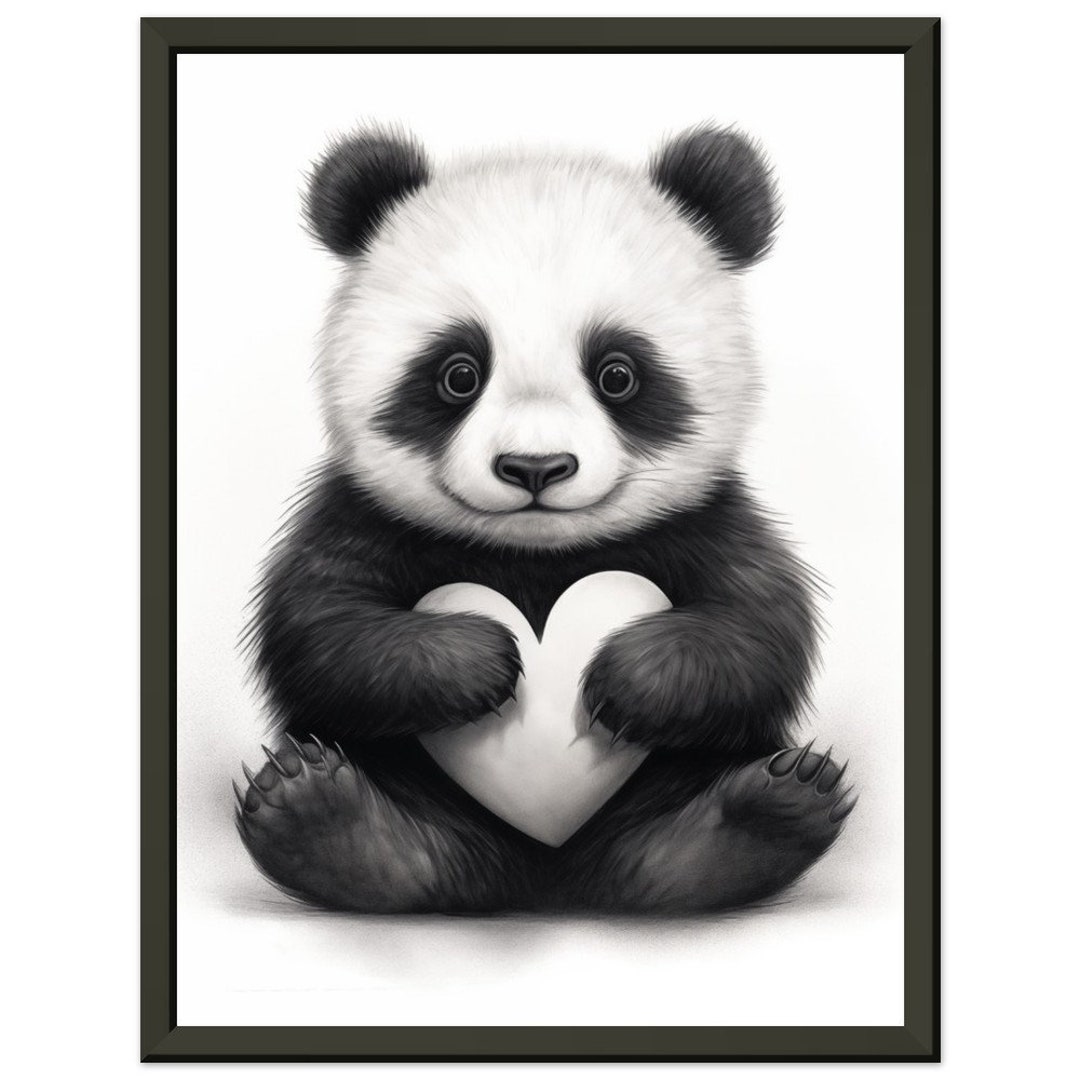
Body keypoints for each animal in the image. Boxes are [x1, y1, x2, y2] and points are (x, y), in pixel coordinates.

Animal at [235, 123, 856, 914]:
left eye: (617, 373)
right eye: (458, 373)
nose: (536, 468)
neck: (535, 554)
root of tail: (544, 883)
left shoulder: (708, 518)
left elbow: (756, 625)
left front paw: (626, 680)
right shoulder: (360, 515)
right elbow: (323, 626)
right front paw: (482, 658)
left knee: (655, 857)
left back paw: (750, 824)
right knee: (422, 852)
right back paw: (334, 826)